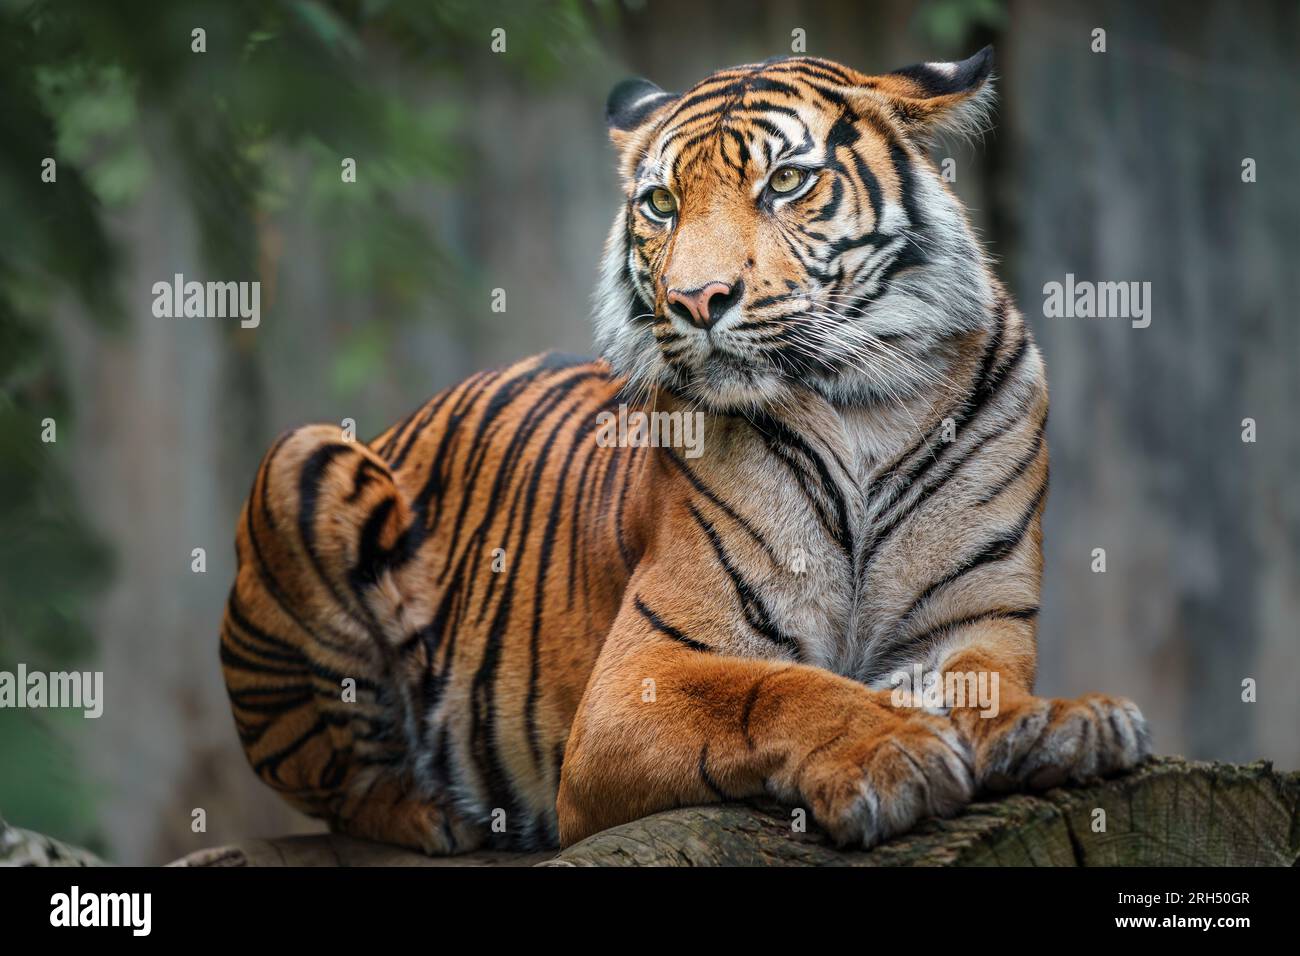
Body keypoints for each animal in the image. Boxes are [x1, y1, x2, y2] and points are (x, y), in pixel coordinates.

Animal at [220, 47, 1151, 854]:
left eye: (786, 182)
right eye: (661, 203)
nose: (696, 299)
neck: (866, 405)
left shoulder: (975, 621)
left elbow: (983, 684)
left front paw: (1066, 722)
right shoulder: (639, 678)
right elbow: (778, 689)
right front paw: (892, 751)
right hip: (306, 461)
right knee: (338, 785)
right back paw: (437, 815)